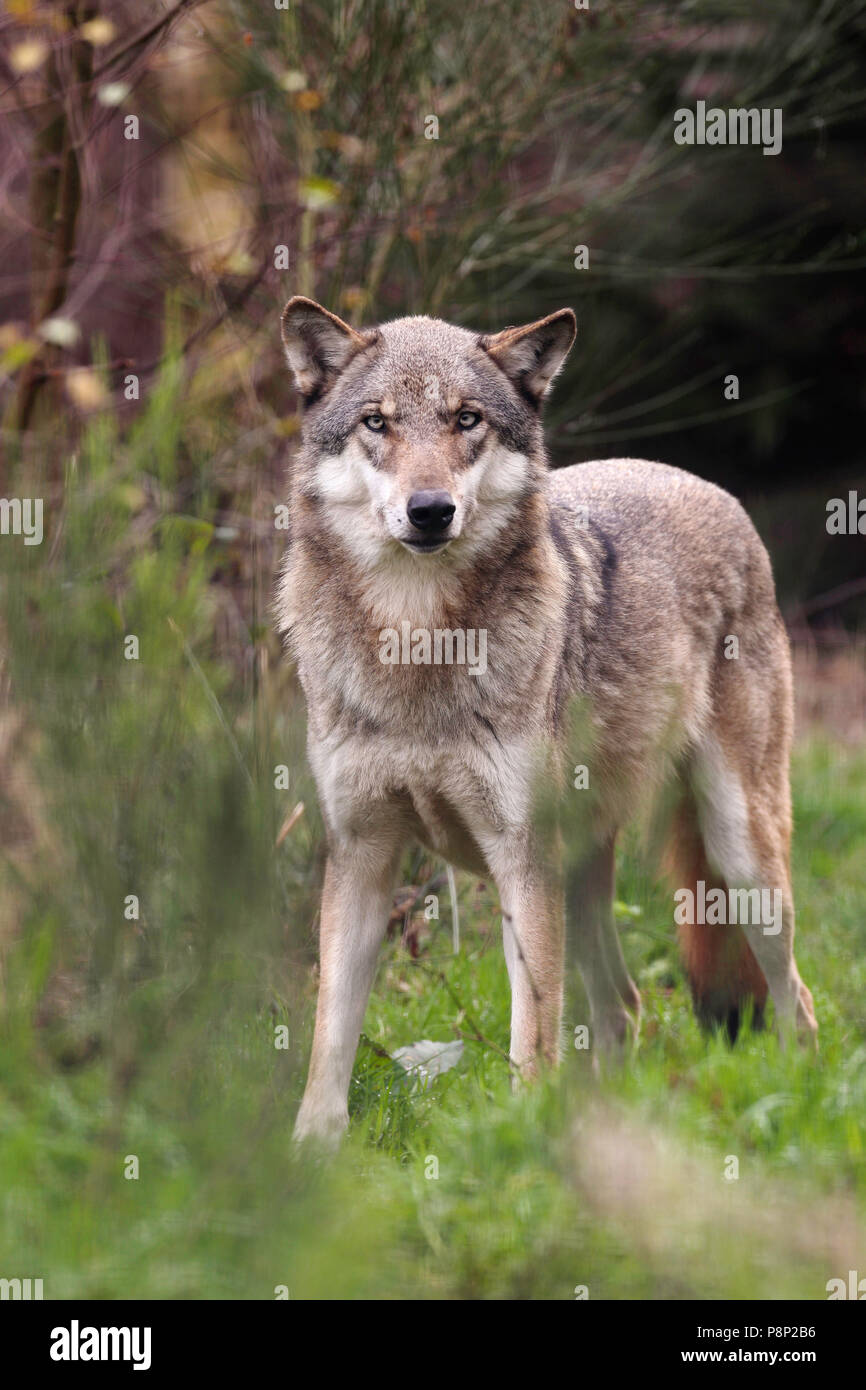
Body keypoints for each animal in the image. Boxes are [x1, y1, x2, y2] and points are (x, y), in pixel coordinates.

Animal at [276, 296, 817, 1146]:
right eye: (377, 423)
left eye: (466, 419)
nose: (431, 511)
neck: (417, 642)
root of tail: (701, 482)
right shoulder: (360, 856)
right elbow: (331, 1031)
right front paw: (311, 1151)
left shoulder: (520, 859)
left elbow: (532, 1030)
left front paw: (523, 1136)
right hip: (585, 872)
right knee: (624, 1005)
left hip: (739, 855)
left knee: (797, 997)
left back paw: (796, 1099)